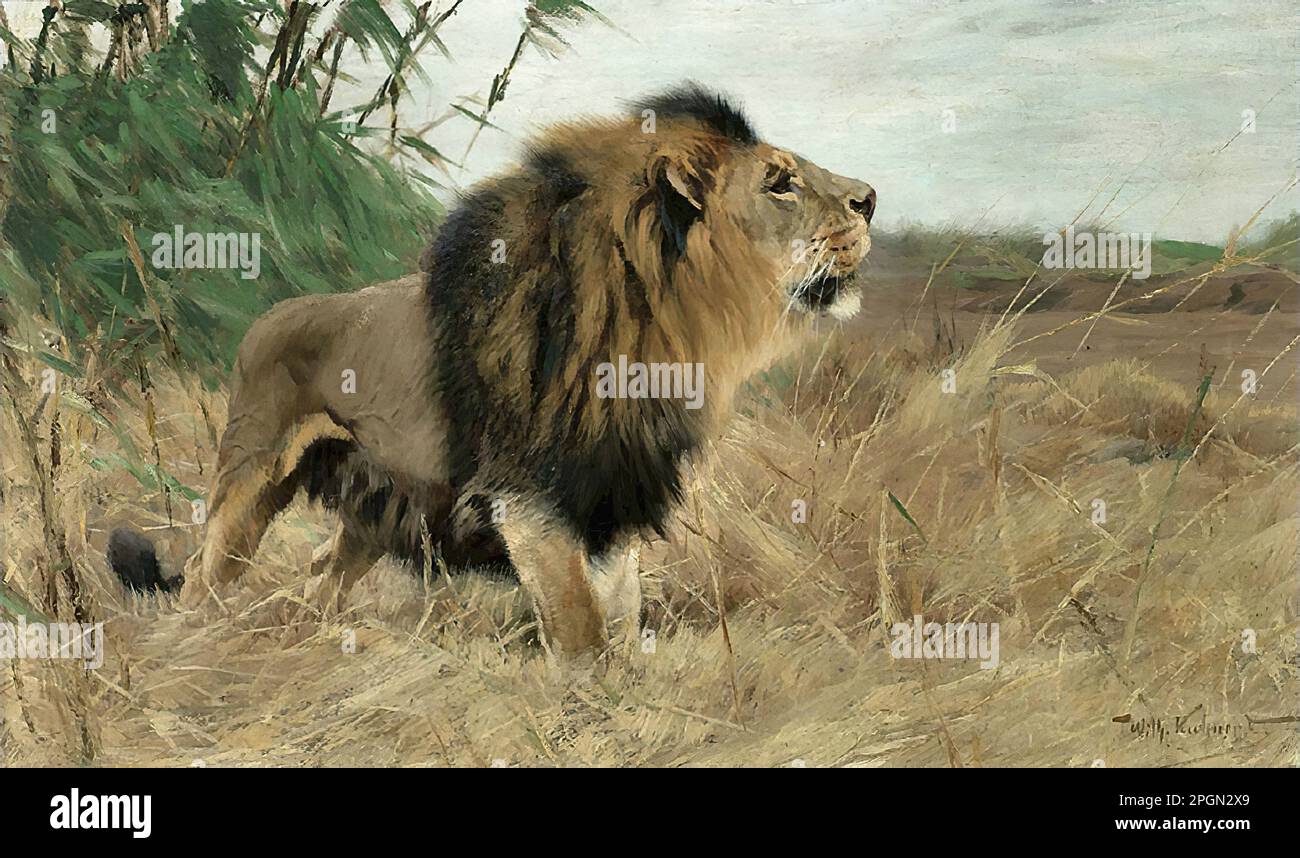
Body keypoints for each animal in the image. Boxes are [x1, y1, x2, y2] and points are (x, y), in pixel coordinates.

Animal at [110, 83, 876, 657]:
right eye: (780, 183)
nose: (869, 198)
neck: (660, 323)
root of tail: (268, 316)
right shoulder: (530, 494)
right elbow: (581, 627)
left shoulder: (610, 489)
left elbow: (621, 613)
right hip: (251, 479)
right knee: (206, 574)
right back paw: (198, 649)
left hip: (379, 503)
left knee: (322, 572)